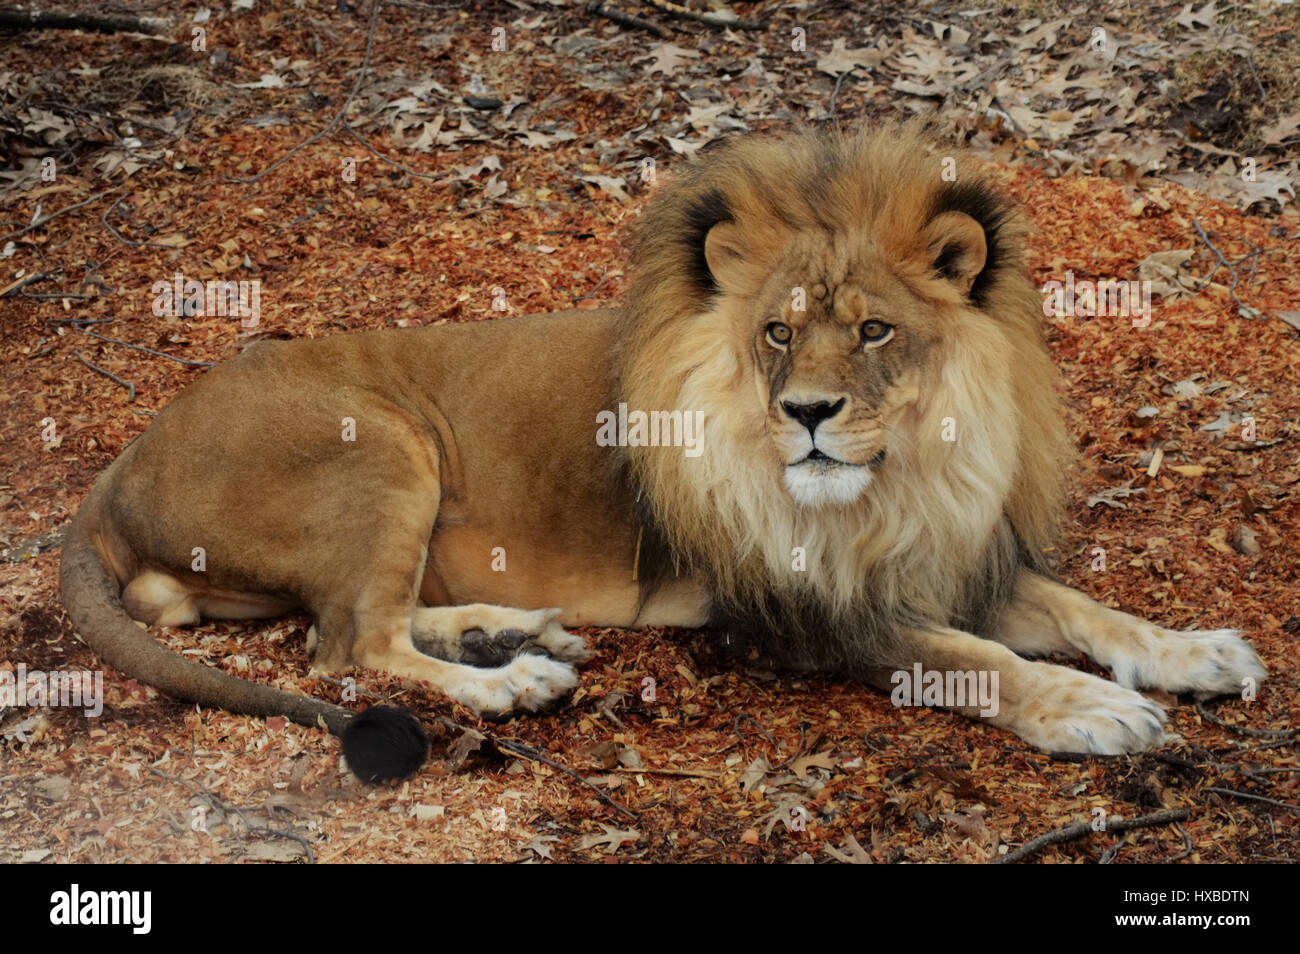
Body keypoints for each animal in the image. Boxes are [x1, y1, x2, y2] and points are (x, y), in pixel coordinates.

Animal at [60, 125, 1266, 782]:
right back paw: (512, 680)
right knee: (350, 642)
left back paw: (514, 629)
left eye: (875, 330)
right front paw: (1092, 711)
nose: (809, 413)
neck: (901, 476)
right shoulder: (798, 610)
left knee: (365, 616)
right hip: (385, 444)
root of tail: (117, 470)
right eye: (776, 332)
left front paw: (1195, 652)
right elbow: (980, 662)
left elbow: (1086, 612)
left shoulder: (949, 555)